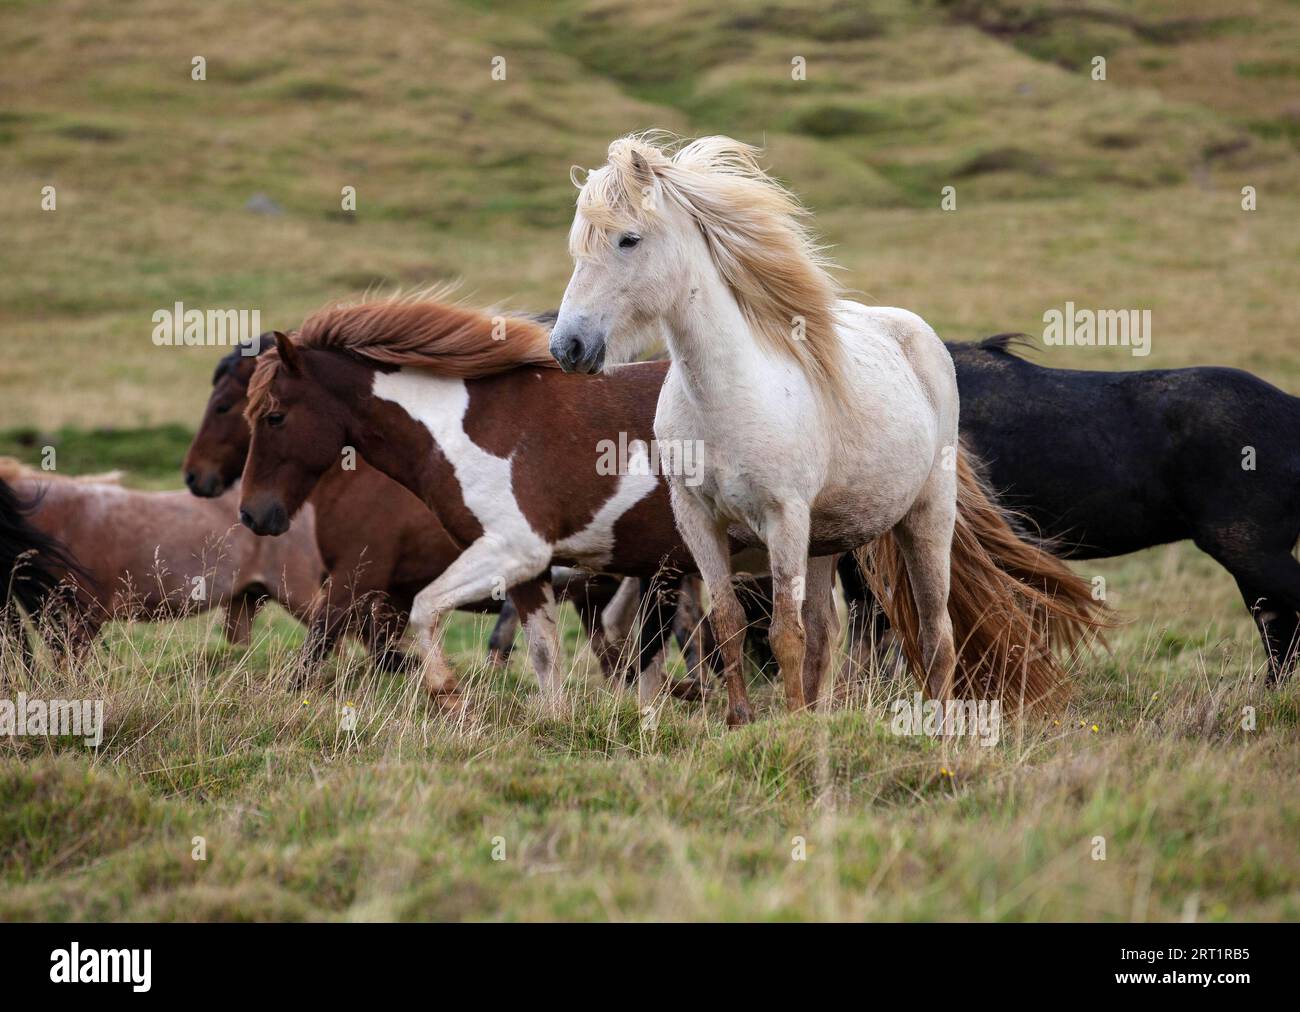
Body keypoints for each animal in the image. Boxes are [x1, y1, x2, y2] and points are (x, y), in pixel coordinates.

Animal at [234, 299, 716, 709]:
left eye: (274, 416)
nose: (252, 513)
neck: (461, 427)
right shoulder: (528, 569)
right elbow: (544, 653)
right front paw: (557, 721)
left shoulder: (512, 550)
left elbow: (424, 607)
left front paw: (446, 691)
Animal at [549, 132, 1106, 724]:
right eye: (578, 246)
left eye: (628, 239)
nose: (569, 347)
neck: (724, 399)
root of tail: (923, 338)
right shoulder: (698, 520)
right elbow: (728, 624)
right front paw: (742, 720)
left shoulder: (783, 518)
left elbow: (783, 633)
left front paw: (787, 723)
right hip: (824, 542)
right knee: (825, 631)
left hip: (926, 517)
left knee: (935, 630)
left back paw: (933, 720)